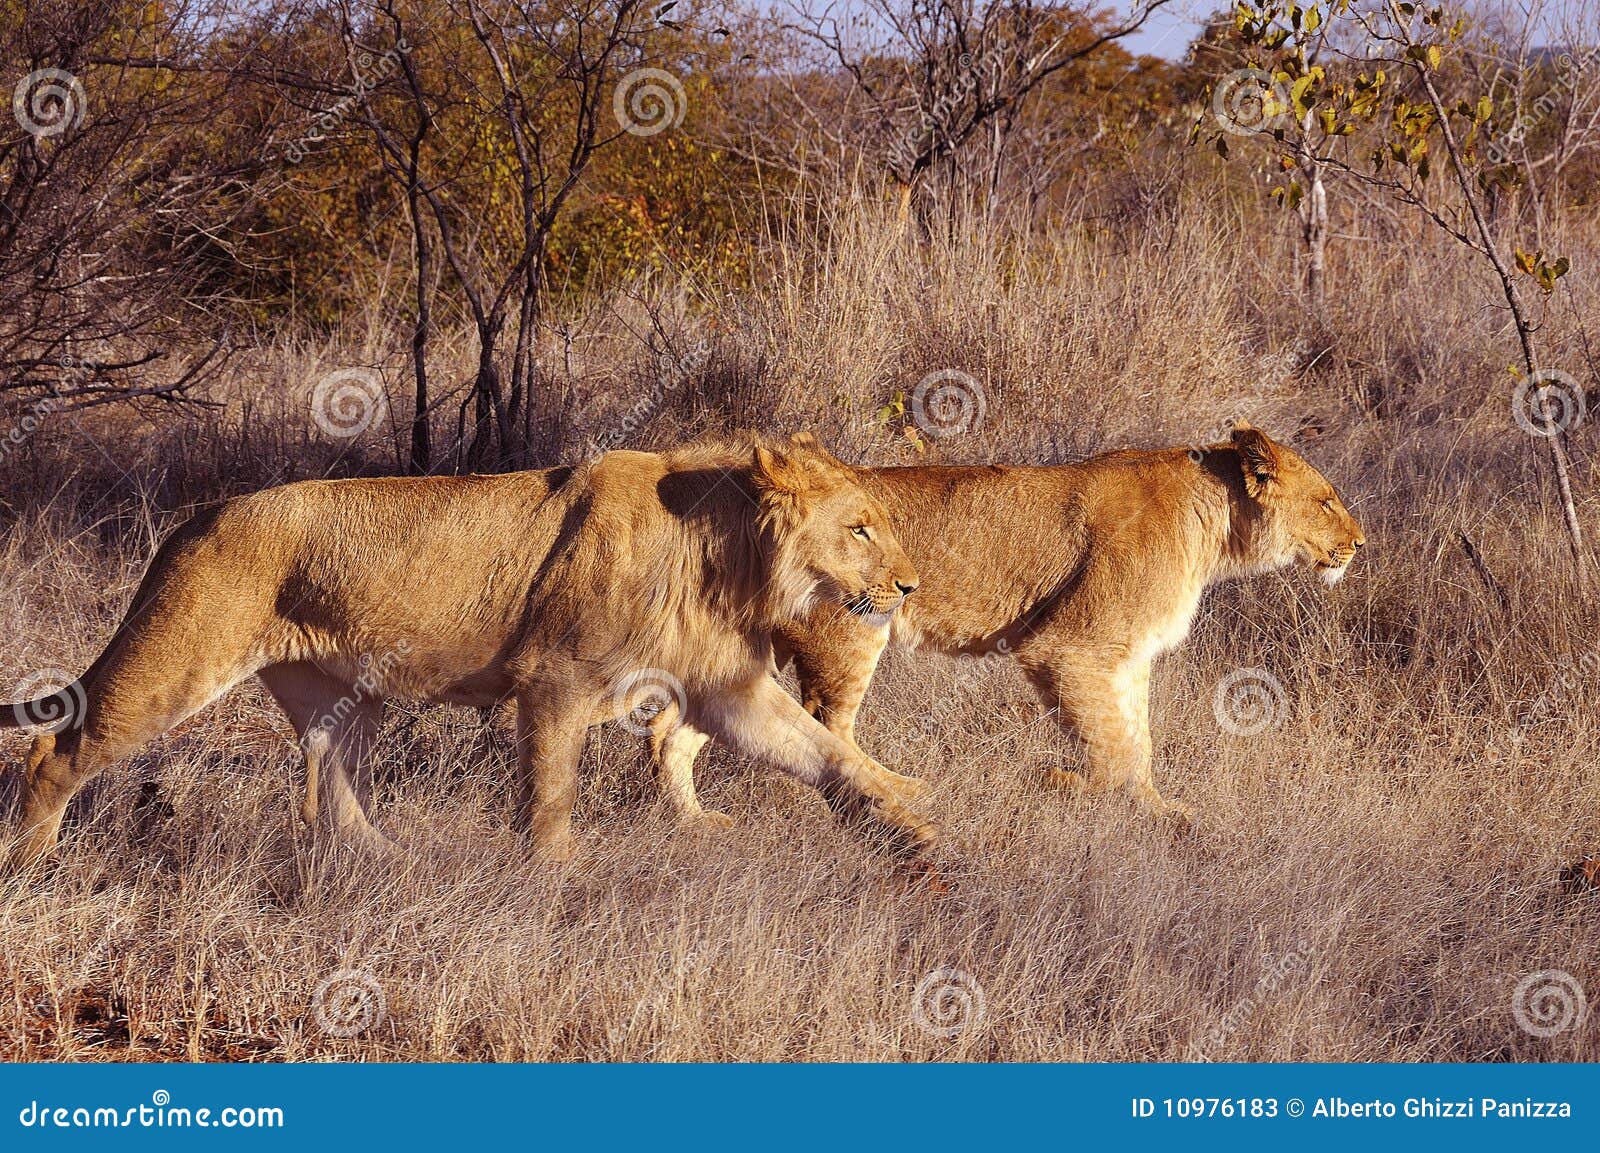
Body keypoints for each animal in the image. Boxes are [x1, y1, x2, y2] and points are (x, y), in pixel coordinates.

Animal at [3, 433, 935, 870]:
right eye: (860, 528)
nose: (910, 585)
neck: (725, 553)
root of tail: (195, 519)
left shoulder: (728, 687)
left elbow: (824, 752)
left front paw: (909, 825)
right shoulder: (555, 681)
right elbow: (549, 801)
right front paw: (558, 879)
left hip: (338, 695)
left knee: (331, 793)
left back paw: (394, 865)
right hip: (179, 657)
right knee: (56, 750)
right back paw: (30, 864)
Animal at [650, 423, 1365, 823]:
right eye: (1328, 501)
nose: (1360, 544)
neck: (1214, 529)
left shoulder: (1127, 658)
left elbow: (1138, 741)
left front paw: (1160, 812)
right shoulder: (1069, 648)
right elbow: (1113, 748)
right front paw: (1068, 787)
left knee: (672, 729)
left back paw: (695, 824)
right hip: (852, 632)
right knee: (828, 726)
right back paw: (896, 795)